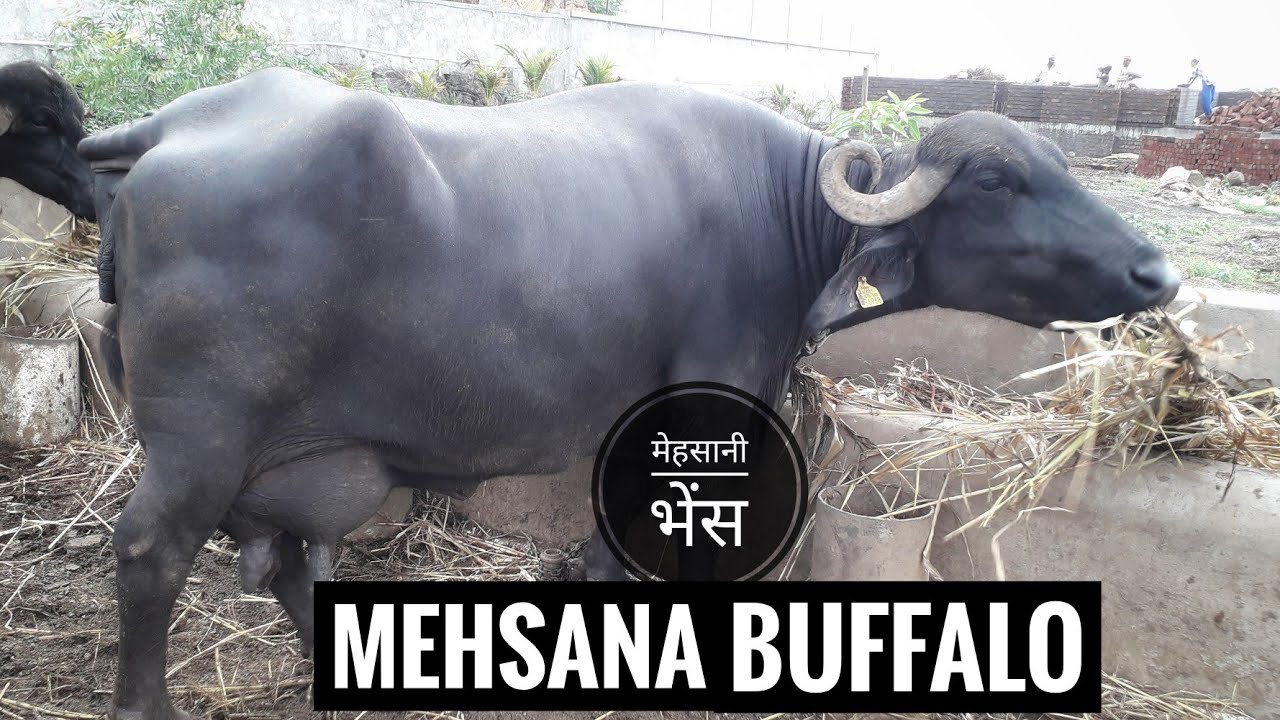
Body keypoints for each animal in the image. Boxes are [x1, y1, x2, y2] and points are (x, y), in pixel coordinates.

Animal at [0, 60, 1179, 720]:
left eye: (1056, 169)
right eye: (997, 180)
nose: (1157, 274)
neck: (782, 212)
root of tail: (172, 131)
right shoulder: (713, 387)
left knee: (289, 562)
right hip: (199, 441)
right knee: (149, 555)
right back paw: (147, 705)